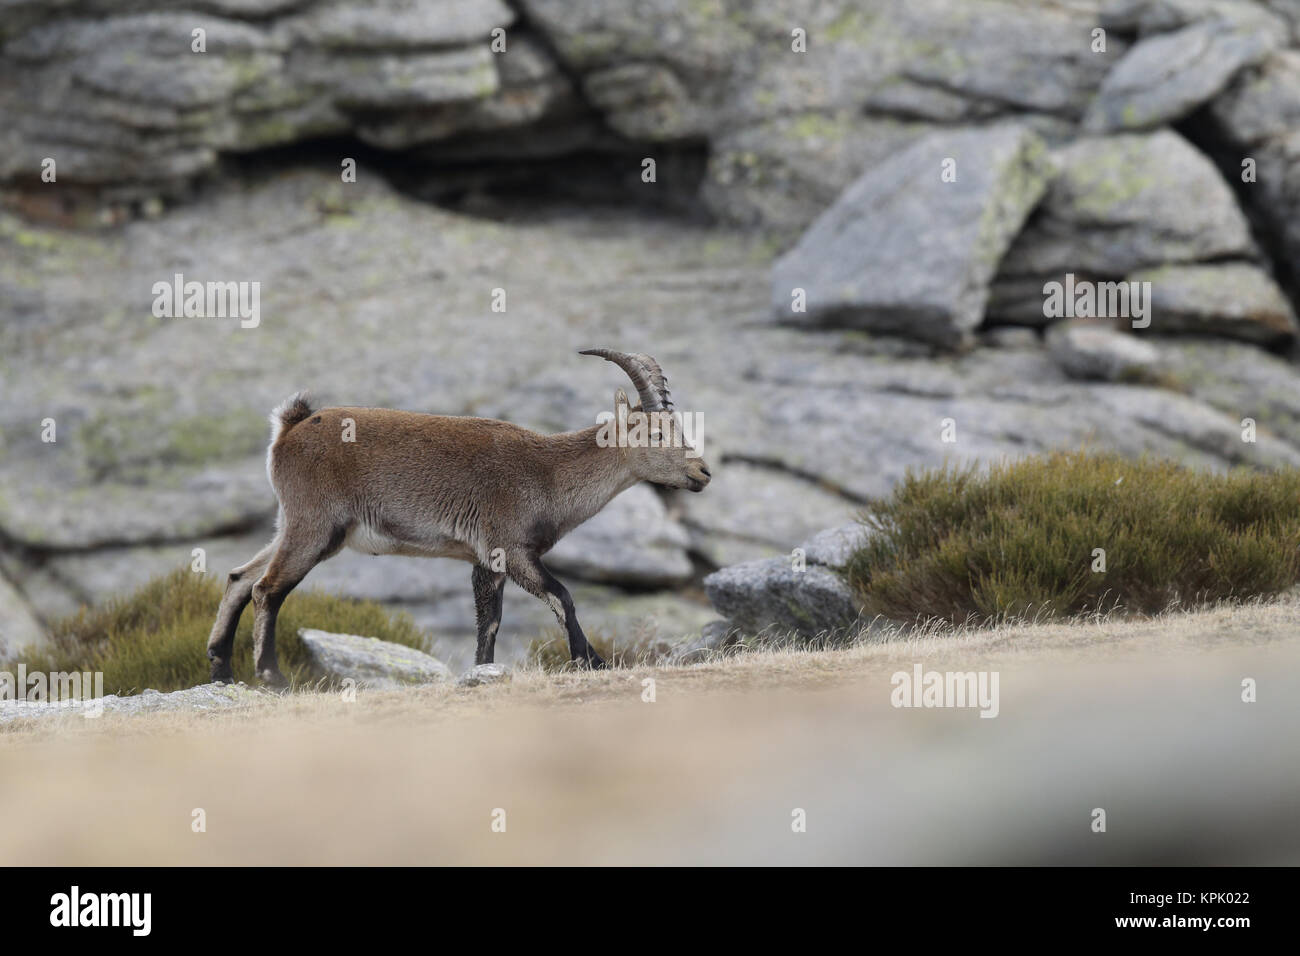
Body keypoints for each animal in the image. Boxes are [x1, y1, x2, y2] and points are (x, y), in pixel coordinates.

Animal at [205, 349, 711, 685]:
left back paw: (221, 670)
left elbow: (489, 623)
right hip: (314, 526)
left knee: (238, 577)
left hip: (295, 524)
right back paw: (271, 677)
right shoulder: (509, 547)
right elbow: (562, 597)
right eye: (656, 433)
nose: (702, 472)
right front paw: (592, 663)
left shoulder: (484, 560)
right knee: (266, 589)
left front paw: (483, 672)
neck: (548, 473)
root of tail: (289, 429)